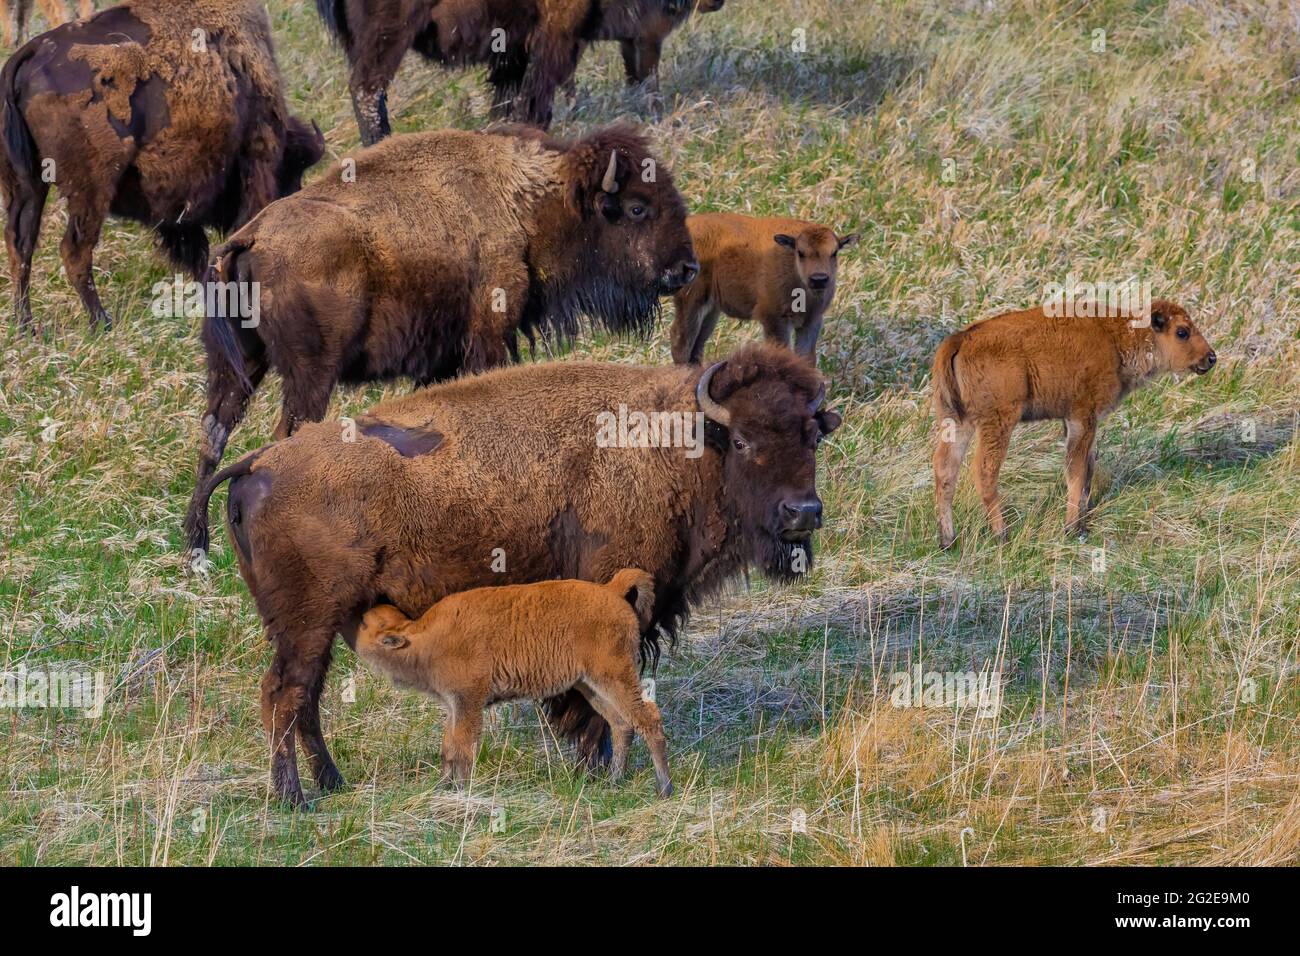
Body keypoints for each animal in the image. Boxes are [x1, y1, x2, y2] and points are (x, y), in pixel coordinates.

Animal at [0, 0, 325, 330]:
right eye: (292, 171)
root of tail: (27, 56)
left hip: (26, 185)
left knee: (20, 243)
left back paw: (26, 325)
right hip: (90, 188)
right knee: (74, 250)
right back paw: (101, 322)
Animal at [184, 122, 697, 542]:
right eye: (637, 208)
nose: (687, 269)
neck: (528, 201)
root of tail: (249, 237)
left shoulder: (440, 358)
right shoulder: (487, 337)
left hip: (239, 364)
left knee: (215, 429)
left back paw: (196, 544)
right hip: (310, 373)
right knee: (283, 431)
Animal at [187, 343, 842, 807]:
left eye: (812, 436)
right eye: (743, 439)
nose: (803, 512)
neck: (675, 442)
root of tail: (258, 463)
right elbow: (586, 703)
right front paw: (594, 766)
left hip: (319, 625)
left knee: (306, 700)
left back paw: (331, 784)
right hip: (308, 622)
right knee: (285, 695)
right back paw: (295, 799)